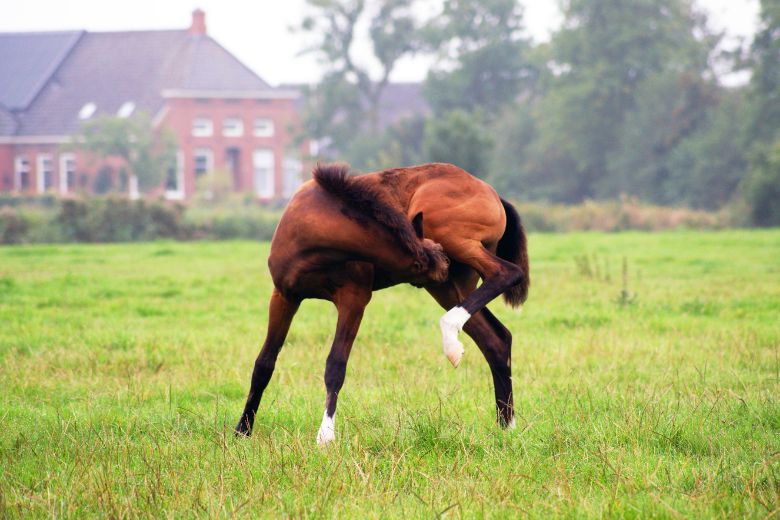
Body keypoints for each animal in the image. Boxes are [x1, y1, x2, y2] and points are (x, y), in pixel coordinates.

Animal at [235, 162, 529, 445]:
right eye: (419, 264)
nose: (444, 268)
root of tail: (493, 194)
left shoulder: (354, 298)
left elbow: (335, 365)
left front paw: (325, 436)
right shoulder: (285, 296)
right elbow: (264, 364)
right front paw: (242, 431)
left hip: (452, 247)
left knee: (507, 273)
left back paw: (451, 338)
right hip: (450, 288)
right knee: (495, 339)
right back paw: (505, 427)